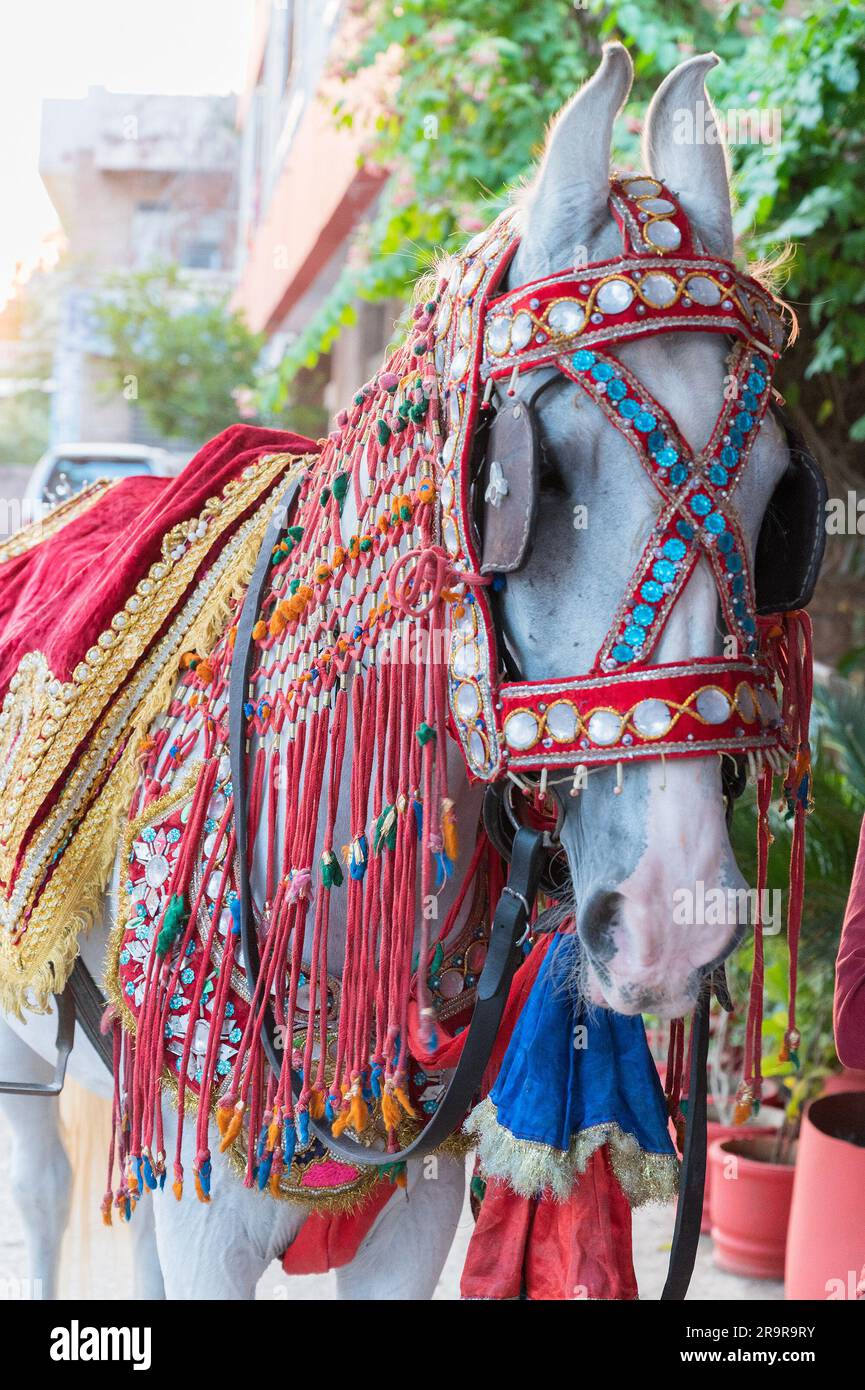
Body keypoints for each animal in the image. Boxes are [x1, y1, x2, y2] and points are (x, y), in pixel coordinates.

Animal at [0, 44, 818, 1301]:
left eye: (780, 497)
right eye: (533, 480)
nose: (670, 914)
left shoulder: (417, 1198)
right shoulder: (211, 1218)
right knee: (43, 1198)